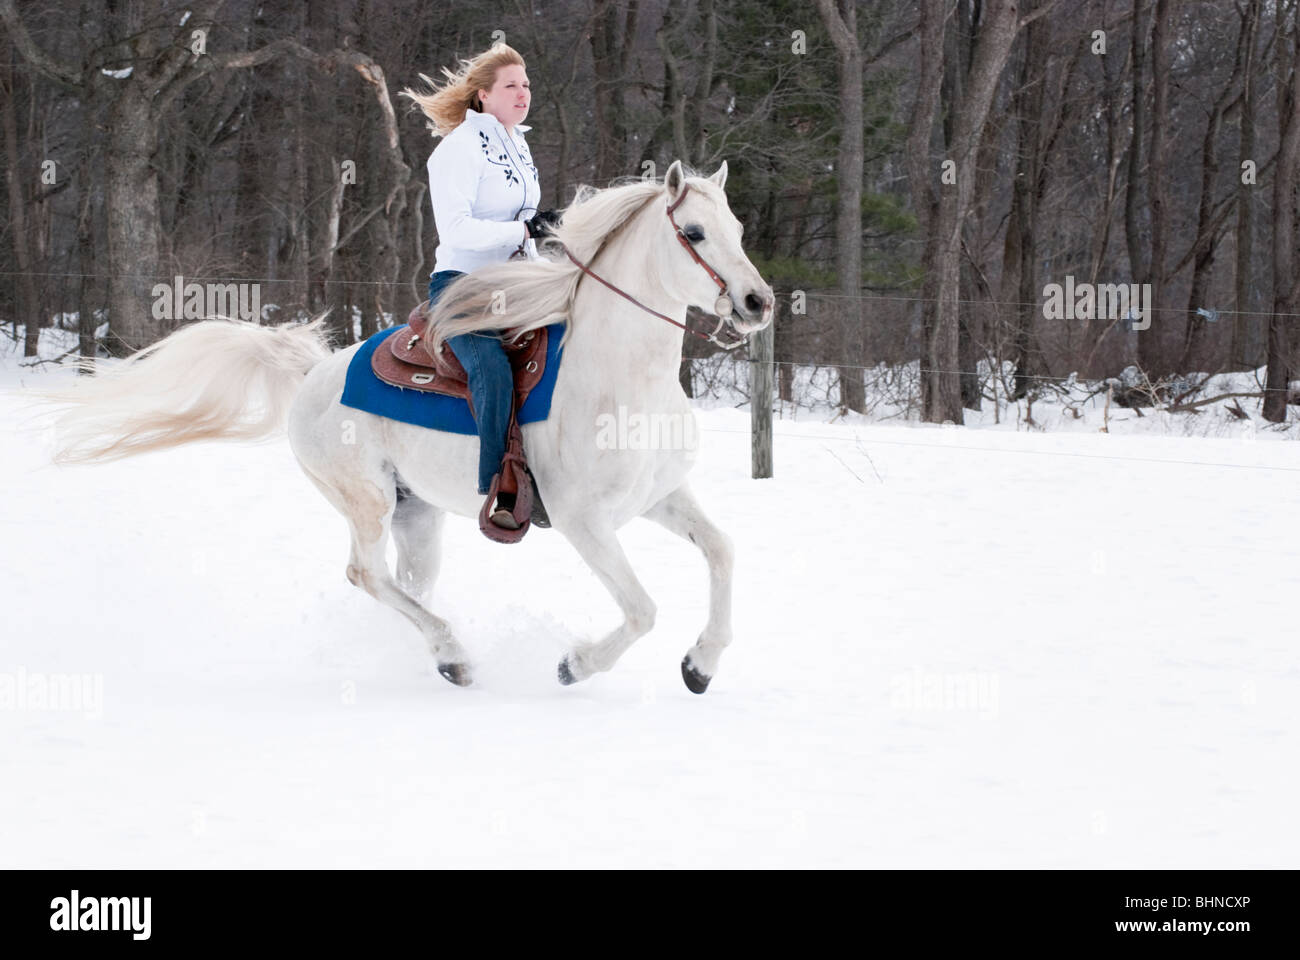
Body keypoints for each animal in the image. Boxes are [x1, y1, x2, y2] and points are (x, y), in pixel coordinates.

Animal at [46, 160, 775, 693]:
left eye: (739, 226)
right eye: (695, 233)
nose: (758, 302)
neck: (621, 378)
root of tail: (313, 373)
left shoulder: (660, 497)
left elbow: (723, 551)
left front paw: (701, 665)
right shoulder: (583, 522)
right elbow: (642, 608)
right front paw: (575, 665)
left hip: (416, 514)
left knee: (406, 583)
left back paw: (433, 652)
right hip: (365, 499)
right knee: (365, 575)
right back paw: (453, 655)